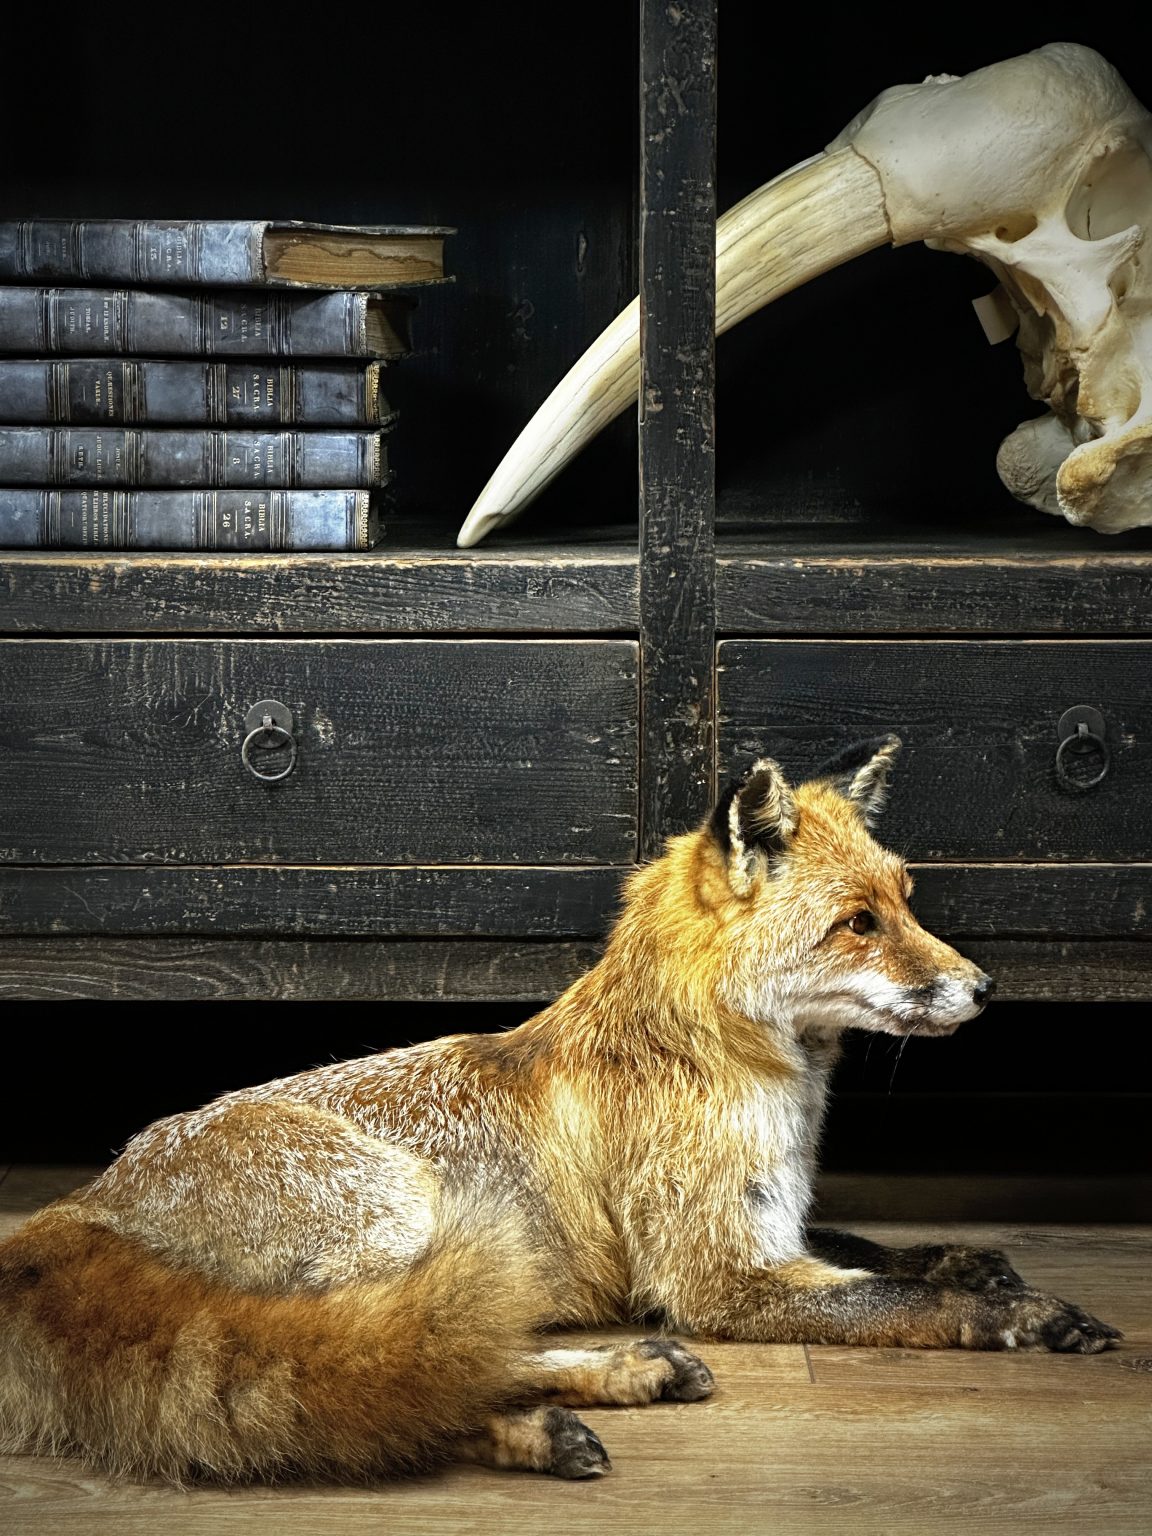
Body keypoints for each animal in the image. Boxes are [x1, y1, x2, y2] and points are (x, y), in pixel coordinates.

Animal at [0, 734, 1121, 1485]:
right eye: (859, 924)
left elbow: (884, 1253)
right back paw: (557, 1413)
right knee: (371, 1380)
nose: (985, 989)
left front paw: (976, 1262)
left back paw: (603, 1388)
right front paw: (1022, 1314)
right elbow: (901, 1301)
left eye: (907, 902)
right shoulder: (716, 1278)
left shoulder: (762, 1224)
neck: (726, 1062)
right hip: (402, 1224)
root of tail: (81, 1202)